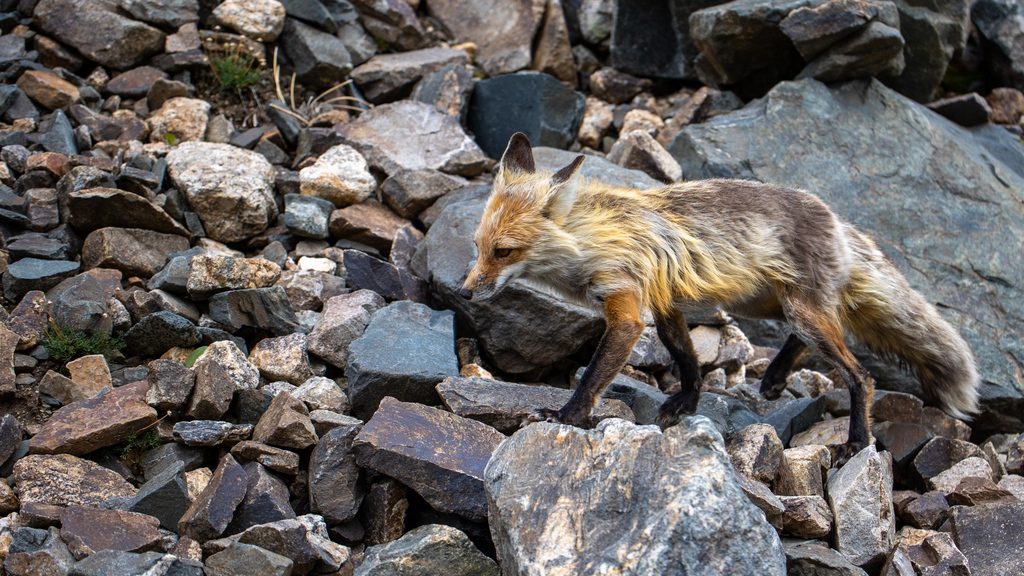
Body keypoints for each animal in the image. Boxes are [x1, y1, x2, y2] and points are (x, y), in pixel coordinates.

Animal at [458, 132, 980, 464]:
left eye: (504, 252)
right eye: (477, 247)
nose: (464, 292)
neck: (588, 238)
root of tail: (836, 220)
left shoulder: (627, 307)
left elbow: (592, 378)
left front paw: (567, 416)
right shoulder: (664, 302)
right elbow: (686, 357)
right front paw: (688, 401)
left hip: (796, 308)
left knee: (861, 376)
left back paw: (856, 438)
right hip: (770, 304)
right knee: (807, 338)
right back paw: (774, 376)